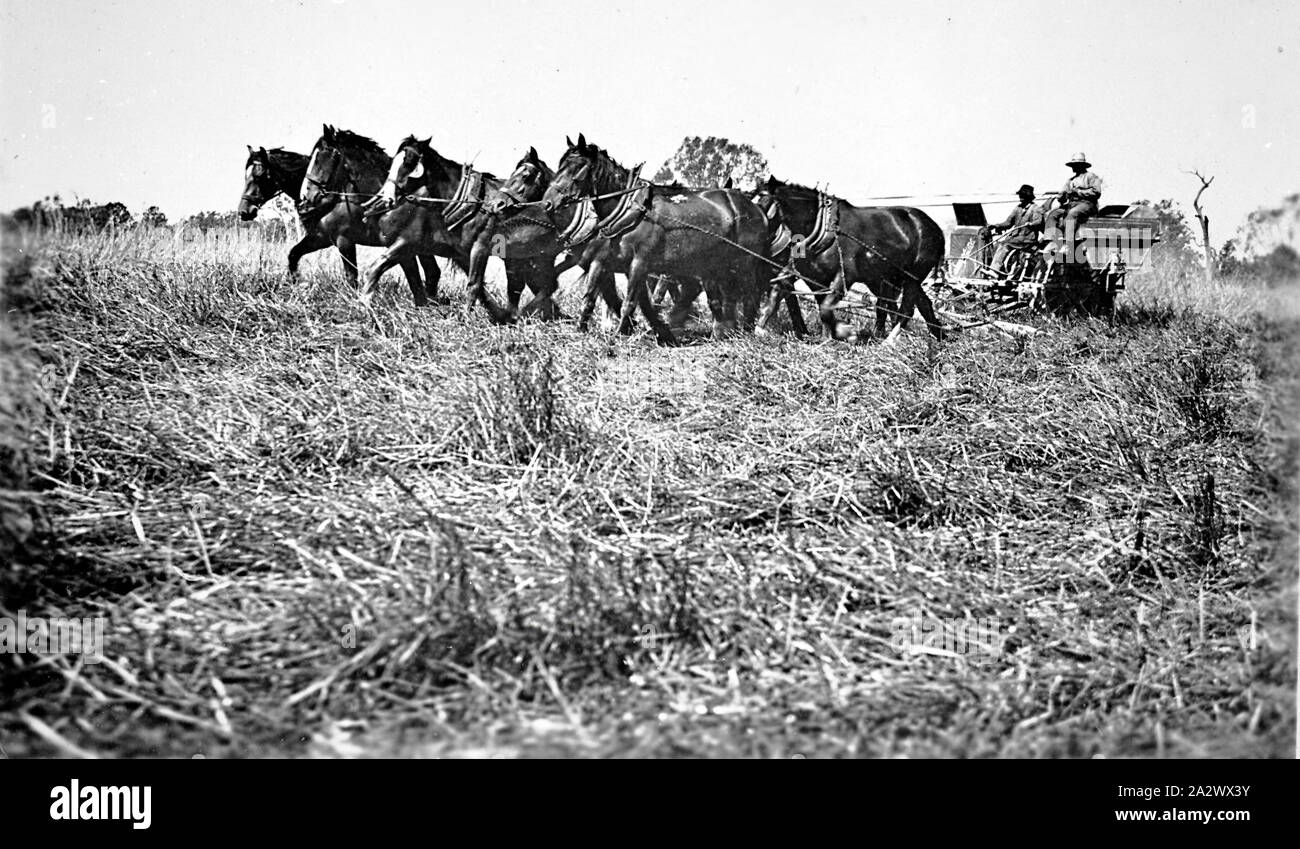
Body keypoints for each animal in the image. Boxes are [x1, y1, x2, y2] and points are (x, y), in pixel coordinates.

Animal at [295, 125, 448, 306]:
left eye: (318, 158)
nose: (307, 197)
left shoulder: (344, 240)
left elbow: (352, 277)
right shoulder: (323, 237)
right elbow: (294, 254)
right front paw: (293, 283)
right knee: (432, 272)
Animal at [541, 134, 771, 344]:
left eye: (577, 167)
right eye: (560, 165)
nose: (547, 203)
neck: (631, 210)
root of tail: (757, 209)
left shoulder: (640, 263)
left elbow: (630, 302)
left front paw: (620, 335)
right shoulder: (604, 260)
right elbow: (591, 297)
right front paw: (581, 331)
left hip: (745, 262)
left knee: (749, 297)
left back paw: (746, 333)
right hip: (715, 266)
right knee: (720, 299)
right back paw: (719, 333)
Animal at [750, 177, 946, 340]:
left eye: (762, 202)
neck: (824, 229)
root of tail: (936, 228)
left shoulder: (846, 275)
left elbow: (825, 308)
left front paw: (844, 332)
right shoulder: (808, 273)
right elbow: (779, 293)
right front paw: (759, 329)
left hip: (912, 276)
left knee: (906, 309)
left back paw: (889, 341)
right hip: (894, 278)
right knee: (917, 304)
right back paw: (938, 336)